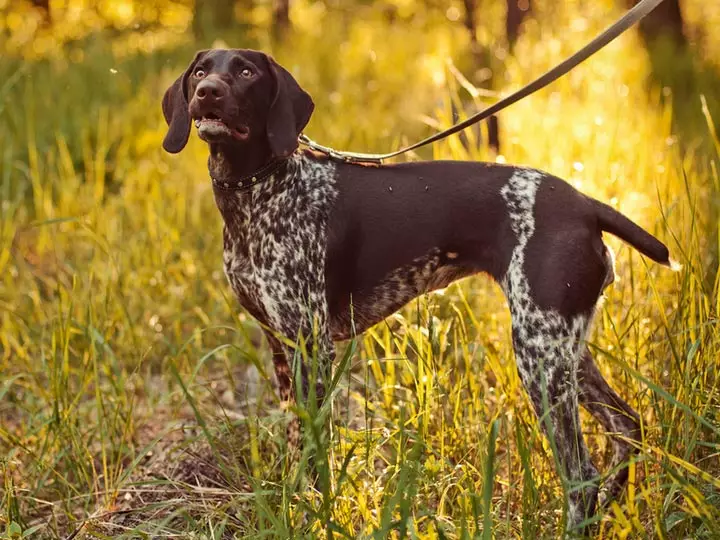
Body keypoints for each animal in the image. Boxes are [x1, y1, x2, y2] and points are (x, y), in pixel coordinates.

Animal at [162, 47, 676, 532]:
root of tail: (585, 204)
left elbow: (313, 449)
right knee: (627, 428)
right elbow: (295, 442)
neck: (259, 190)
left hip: (540, 357)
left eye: (246, 71)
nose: (206, 91)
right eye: (200, 71)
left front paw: (311, 513)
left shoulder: (313, 345)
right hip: (564, 349)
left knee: (581, 478)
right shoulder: (281, 346)